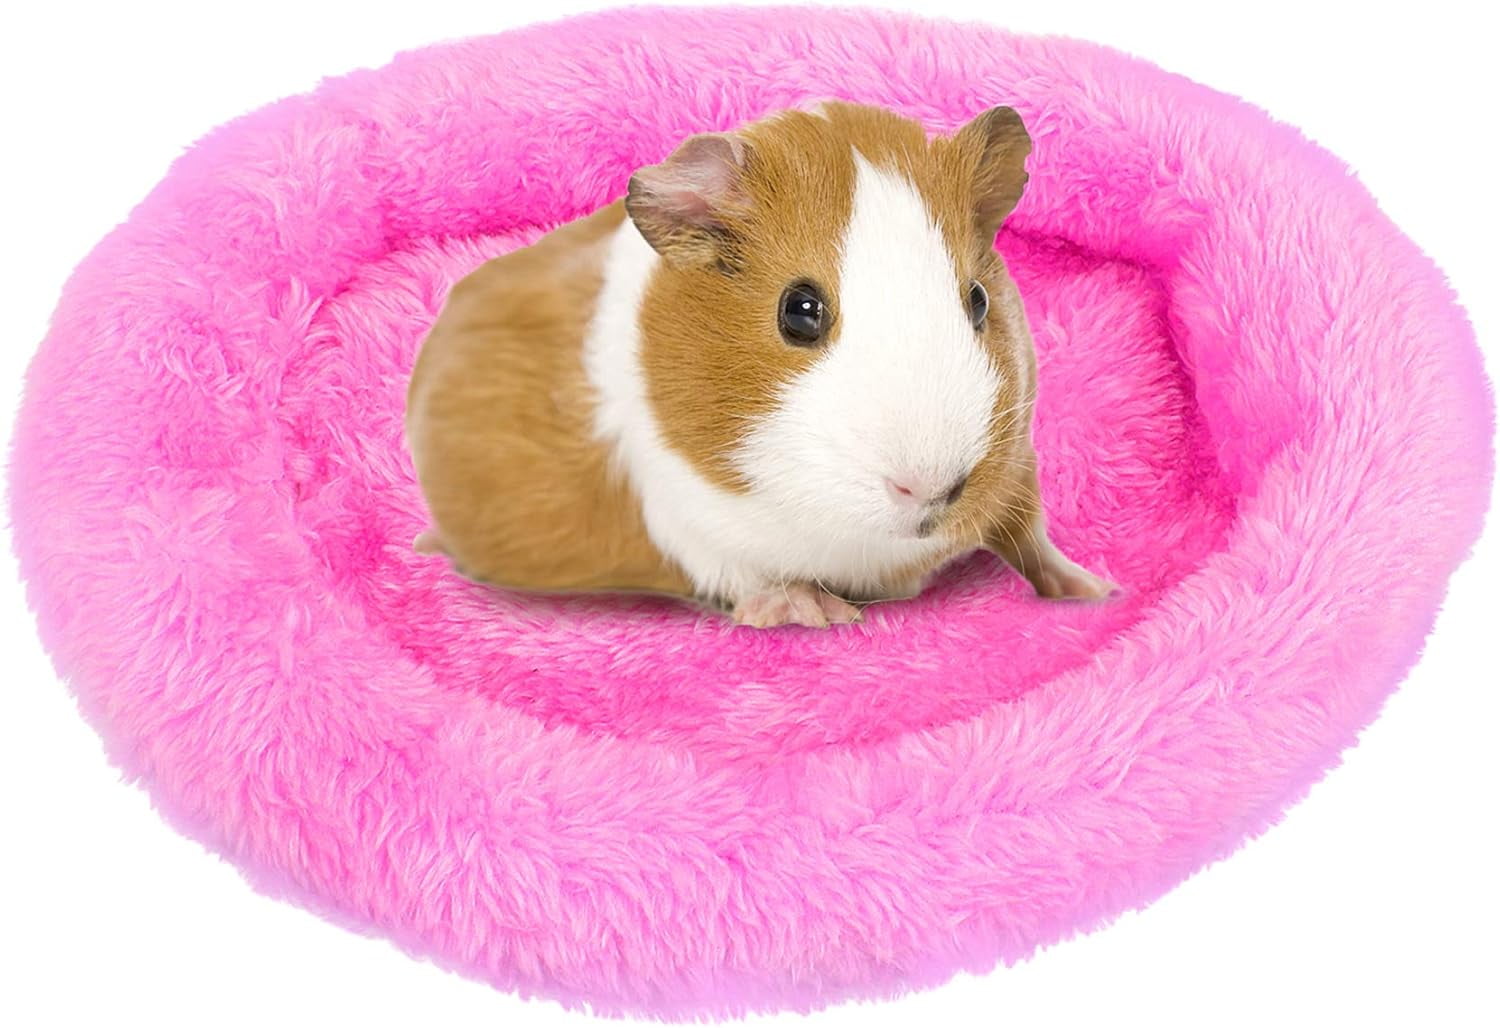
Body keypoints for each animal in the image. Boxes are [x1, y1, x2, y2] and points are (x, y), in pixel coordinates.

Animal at [405, 101, 1115, 628]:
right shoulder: (687, 520)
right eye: (799, 311)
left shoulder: (1019, 465)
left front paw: (1095, 590)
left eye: (978, 299)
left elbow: (1033, 538)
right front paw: (818, 611)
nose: (932, 489)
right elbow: (749, 579)